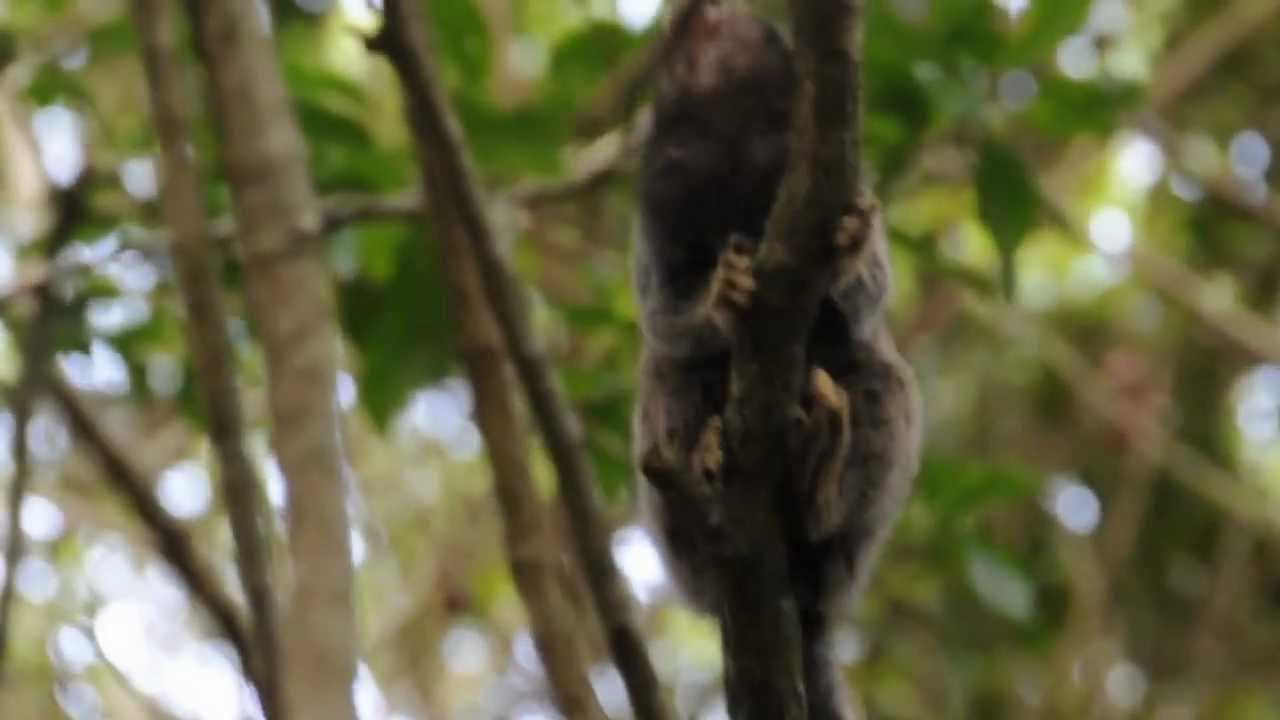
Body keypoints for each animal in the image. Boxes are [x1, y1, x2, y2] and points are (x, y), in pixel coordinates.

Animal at [630, 5, 921, 718]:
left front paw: (848, 247)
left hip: (852, 547)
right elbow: (663, 311)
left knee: (878, 381)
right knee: (668, 384)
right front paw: (719, 296)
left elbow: (868, 292)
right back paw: (708, 490)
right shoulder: (660, 196)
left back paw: (818, 485)